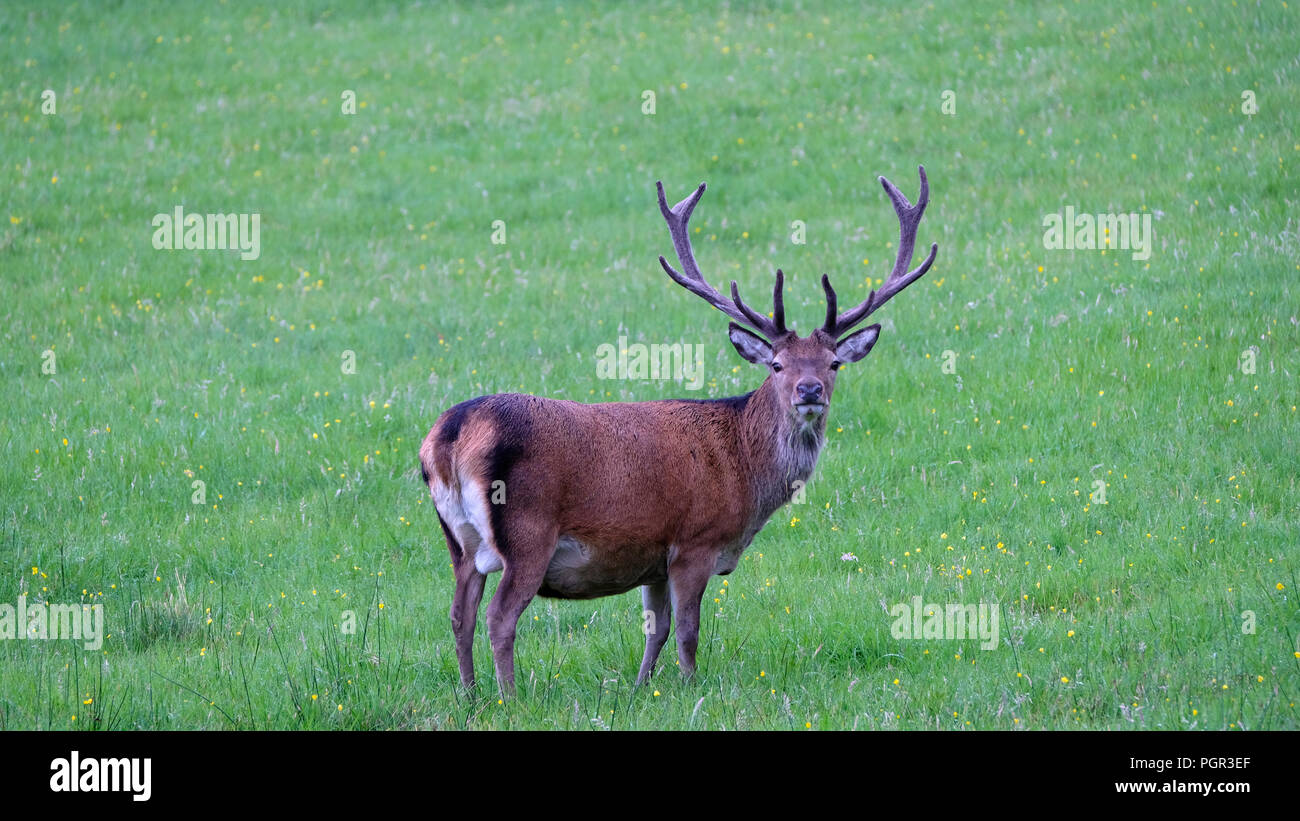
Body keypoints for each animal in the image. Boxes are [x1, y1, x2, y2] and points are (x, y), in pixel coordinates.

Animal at [419, 167, 937, 694]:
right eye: (776, 364)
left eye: (833, 362)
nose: (809, 390)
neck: (745, 471)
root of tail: (451, 434)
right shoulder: (694, 542)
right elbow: (688, 630)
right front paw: (691, 686)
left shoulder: (652, 555)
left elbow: (658, 629)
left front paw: (640, 688)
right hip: (527, 532)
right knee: (499, 616)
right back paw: (510, 696)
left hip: (458, 540)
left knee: (459, 614)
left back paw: (471, 695)